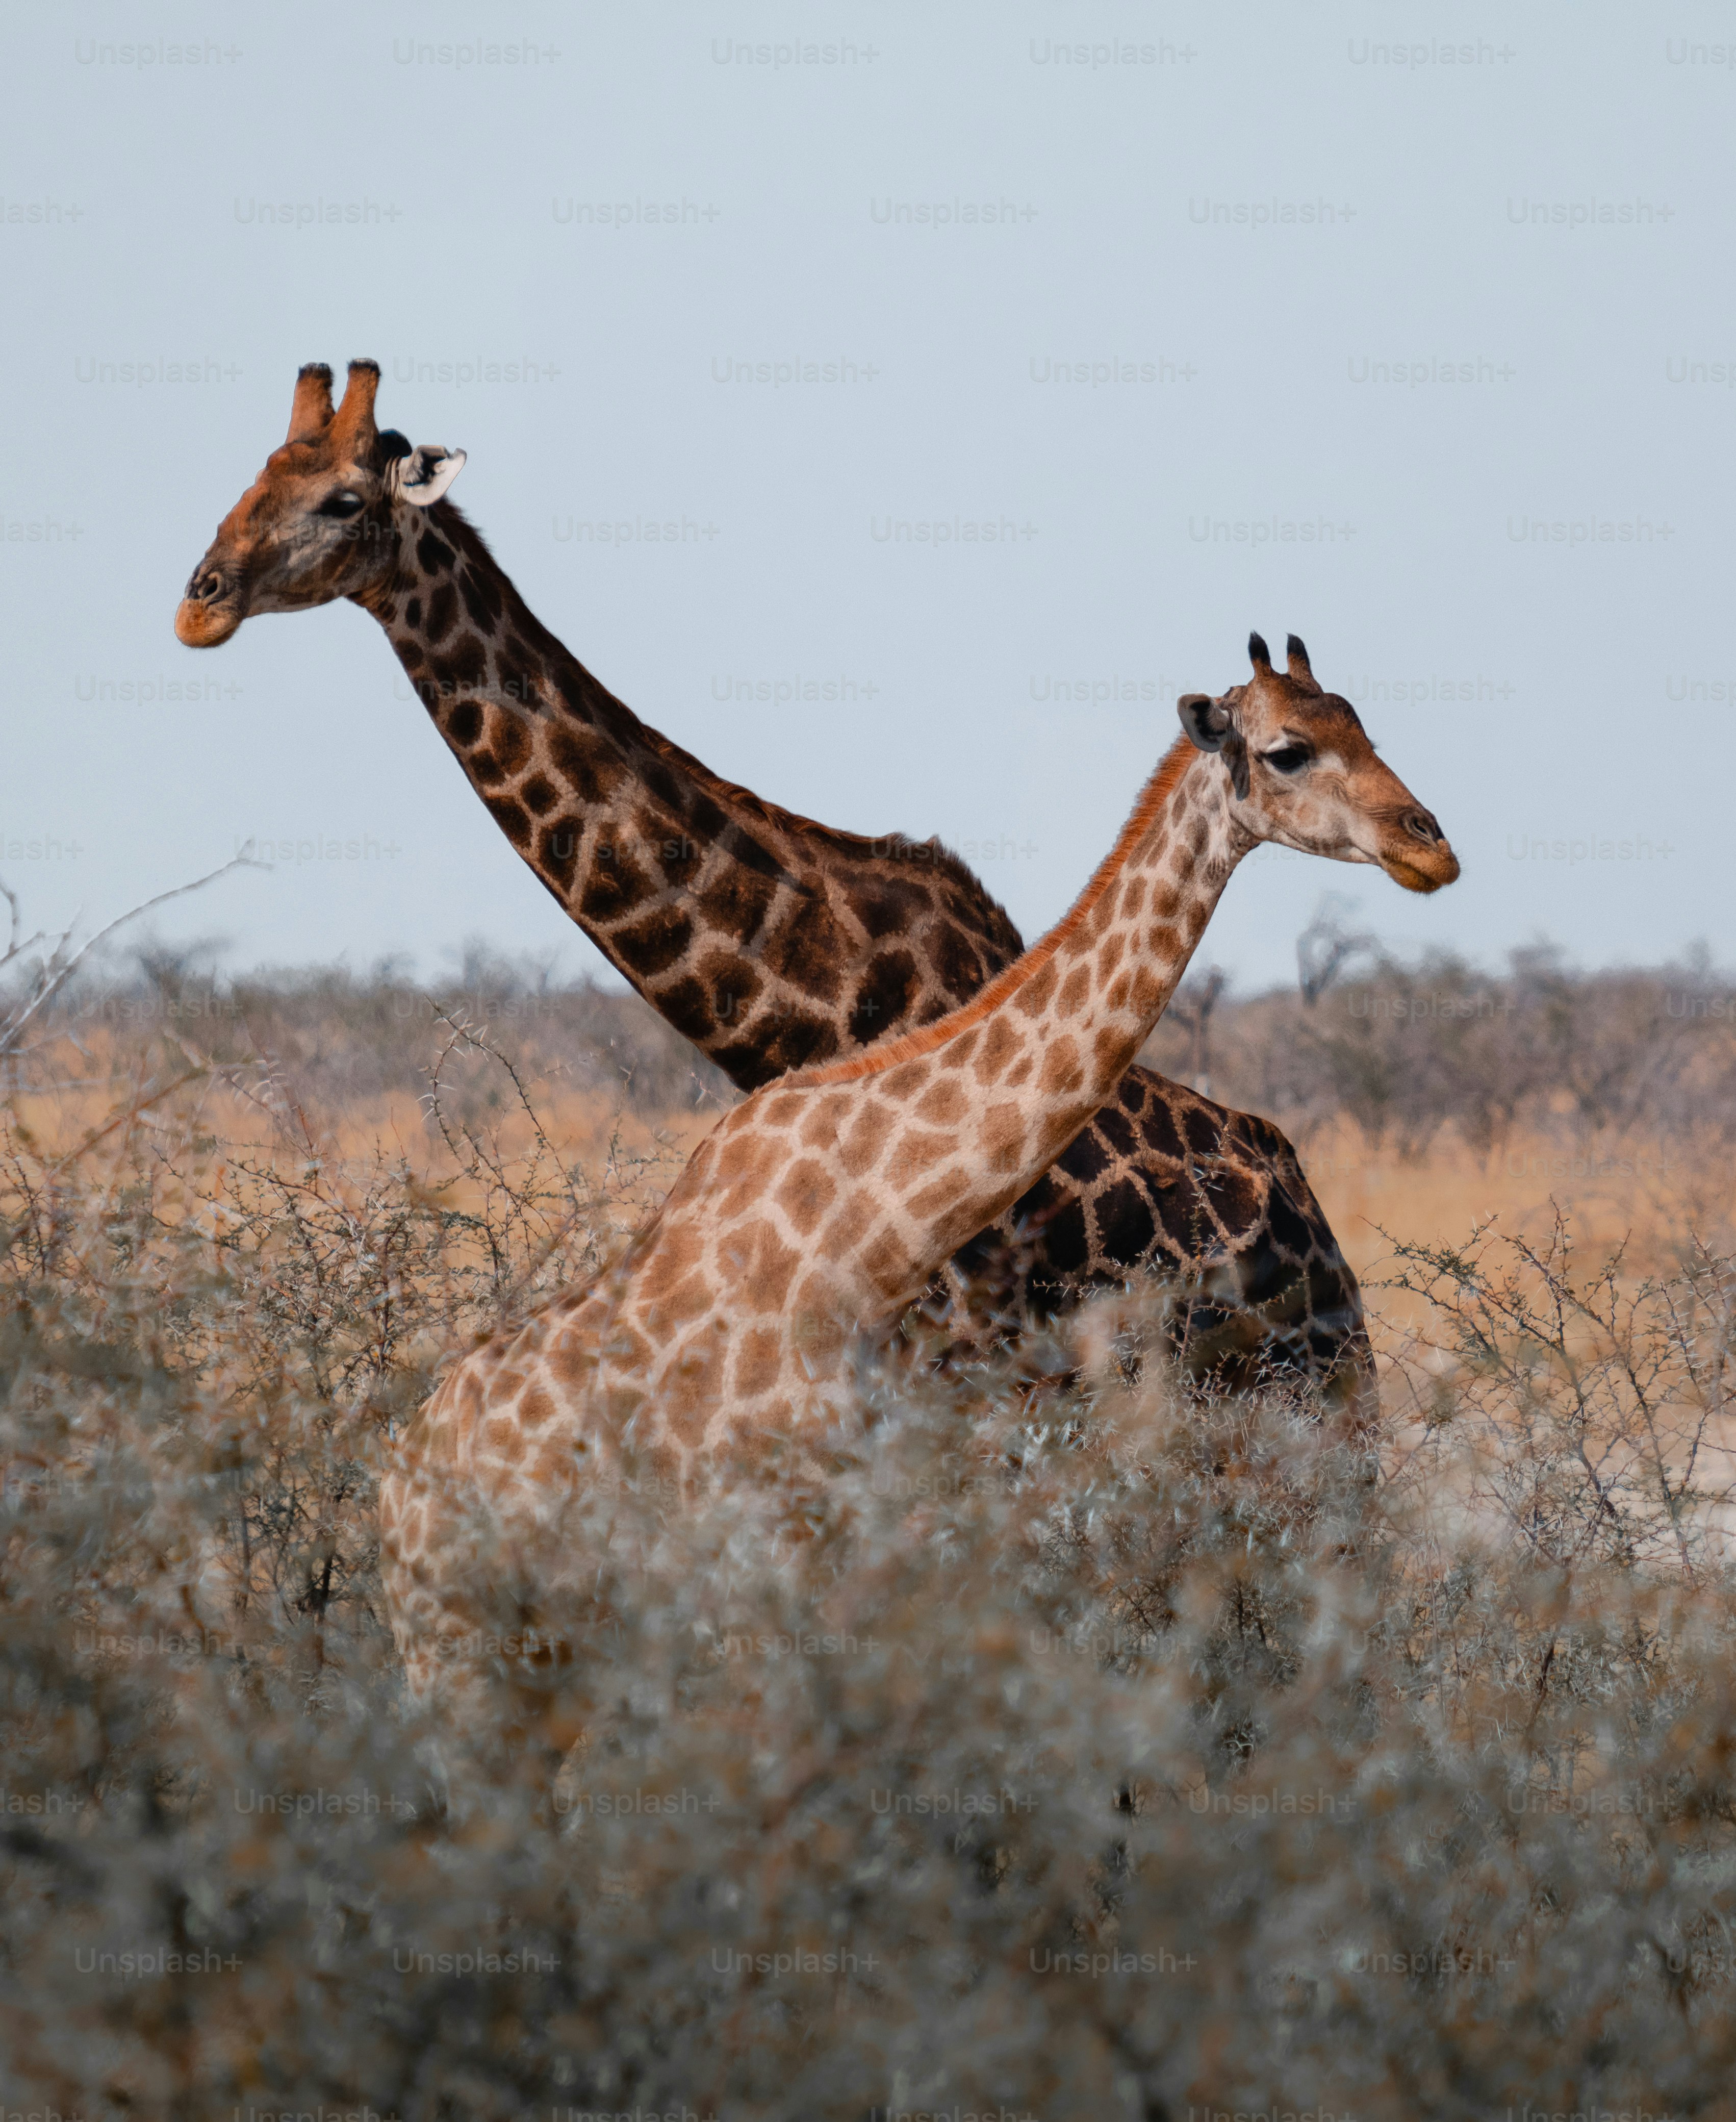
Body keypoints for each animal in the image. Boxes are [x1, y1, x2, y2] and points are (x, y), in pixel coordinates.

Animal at [378, 641, 1458, 1731]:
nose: (1430, 848)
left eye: (1362, 725)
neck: (865, 1234)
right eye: (1286, 751)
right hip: (455, 1653)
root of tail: (394, 1485)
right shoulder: (762, 1557)